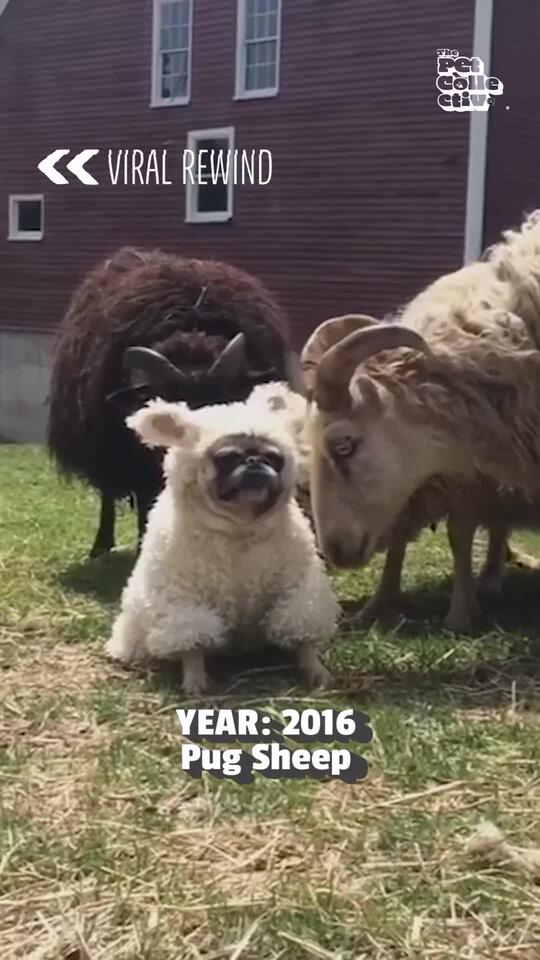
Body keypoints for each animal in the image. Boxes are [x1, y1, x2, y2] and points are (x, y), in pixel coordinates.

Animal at [106, 392, 339, 695]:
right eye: (227, 458)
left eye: (274, 458)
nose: (254, 461)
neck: (239, 530)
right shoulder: (181, 599)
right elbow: (191, 646)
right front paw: (195, 678)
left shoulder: (300, 589)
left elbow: (304, 638)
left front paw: (314, 669)